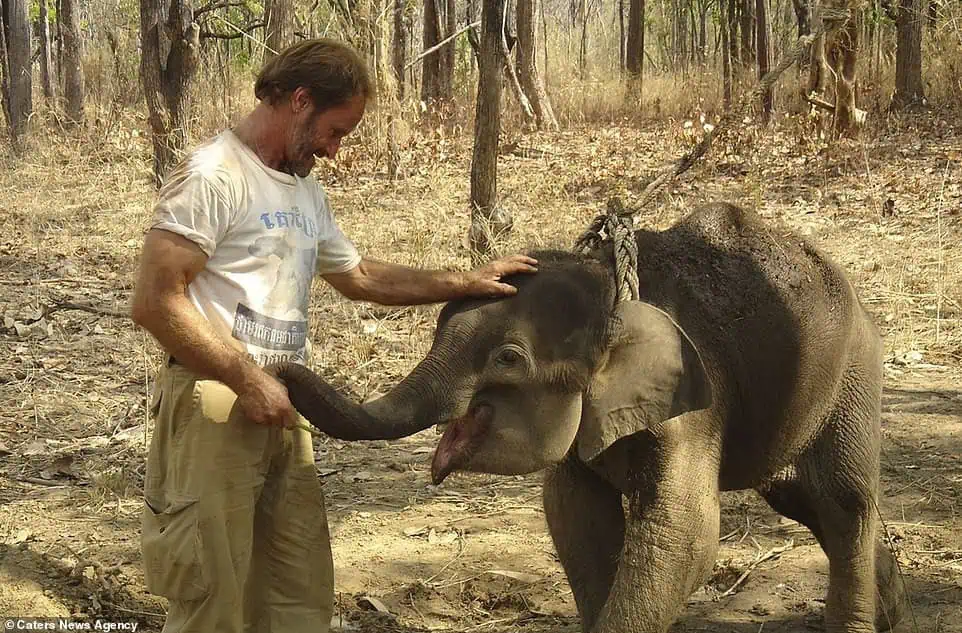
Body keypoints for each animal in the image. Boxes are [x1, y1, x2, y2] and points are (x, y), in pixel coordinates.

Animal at [269, 202, 905, 633]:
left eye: (506, 358)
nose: (279, 369)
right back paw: (891, 606)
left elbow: (683, 532)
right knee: (800, 497)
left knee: (840, 500)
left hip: (855, 373)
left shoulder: (694, 401)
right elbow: (576, 513)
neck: (609, 290)